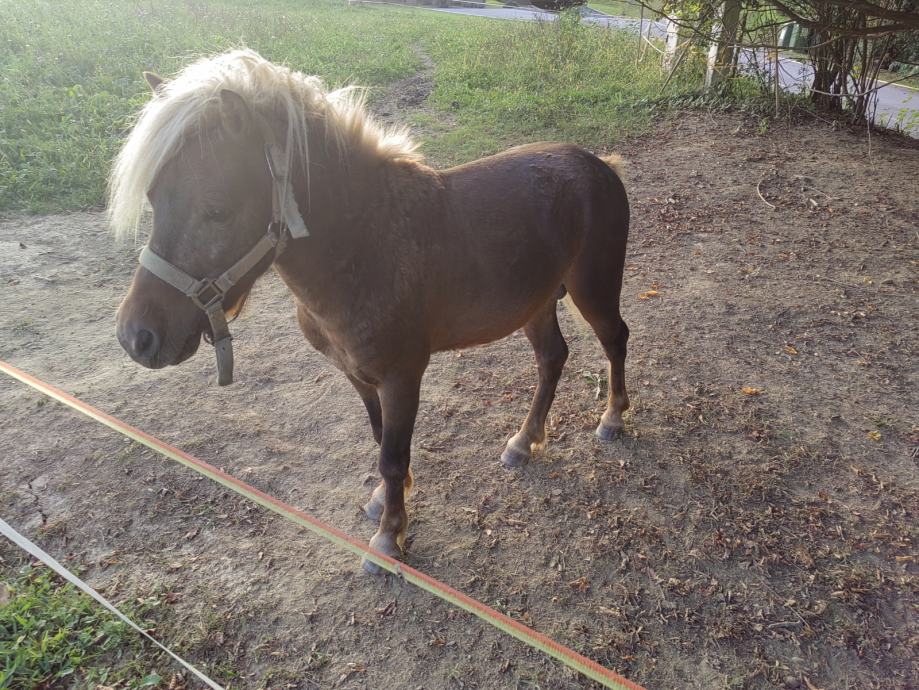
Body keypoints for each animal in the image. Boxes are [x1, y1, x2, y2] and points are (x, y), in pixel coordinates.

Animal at [111, 49, 630, 572]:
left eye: (216, 209)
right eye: (153, 199)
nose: (136, 336)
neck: (366, 247)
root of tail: (599, 165)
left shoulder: (403, 377)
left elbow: (393, 456)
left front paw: (388, 539)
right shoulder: (358, 375)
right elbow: (381, 440)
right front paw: (385, 502)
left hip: (593, 290)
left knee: (615, 339)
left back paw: (612, 419)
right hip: (536, 303)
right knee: (552, 358)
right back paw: (523, 442)